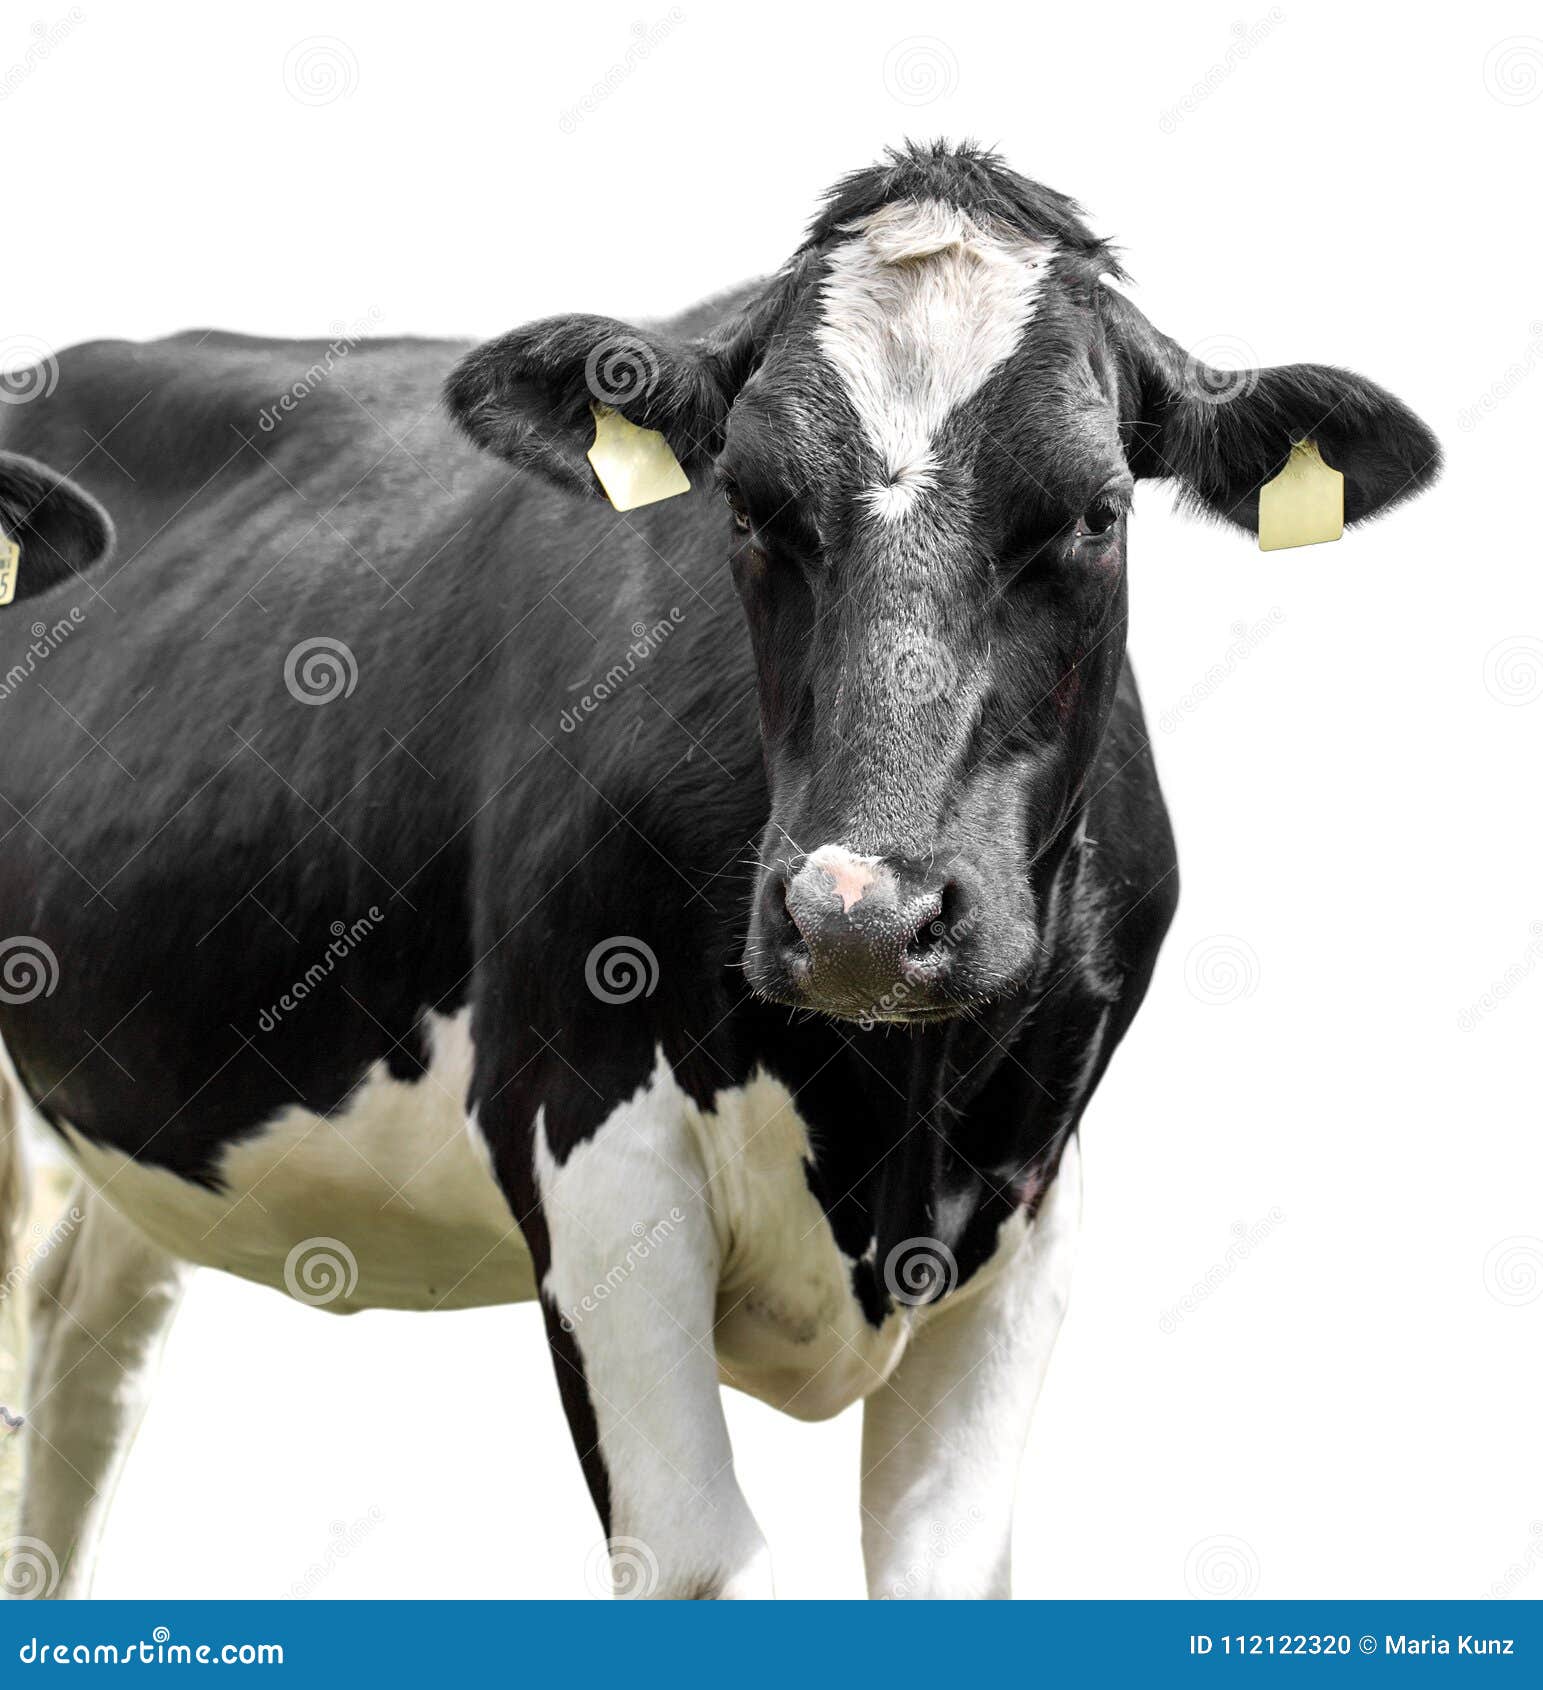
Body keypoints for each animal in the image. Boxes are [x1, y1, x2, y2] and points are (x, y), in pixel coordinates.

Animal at [0, 142, 1438, 1599]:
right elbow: (702, 1556)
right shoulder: (588, 1138)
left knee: (89, 1336)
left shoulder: (1035, 1197)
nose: (861, 921)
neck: (884, 1123)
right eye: (744, 504)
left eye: (1094, 512)